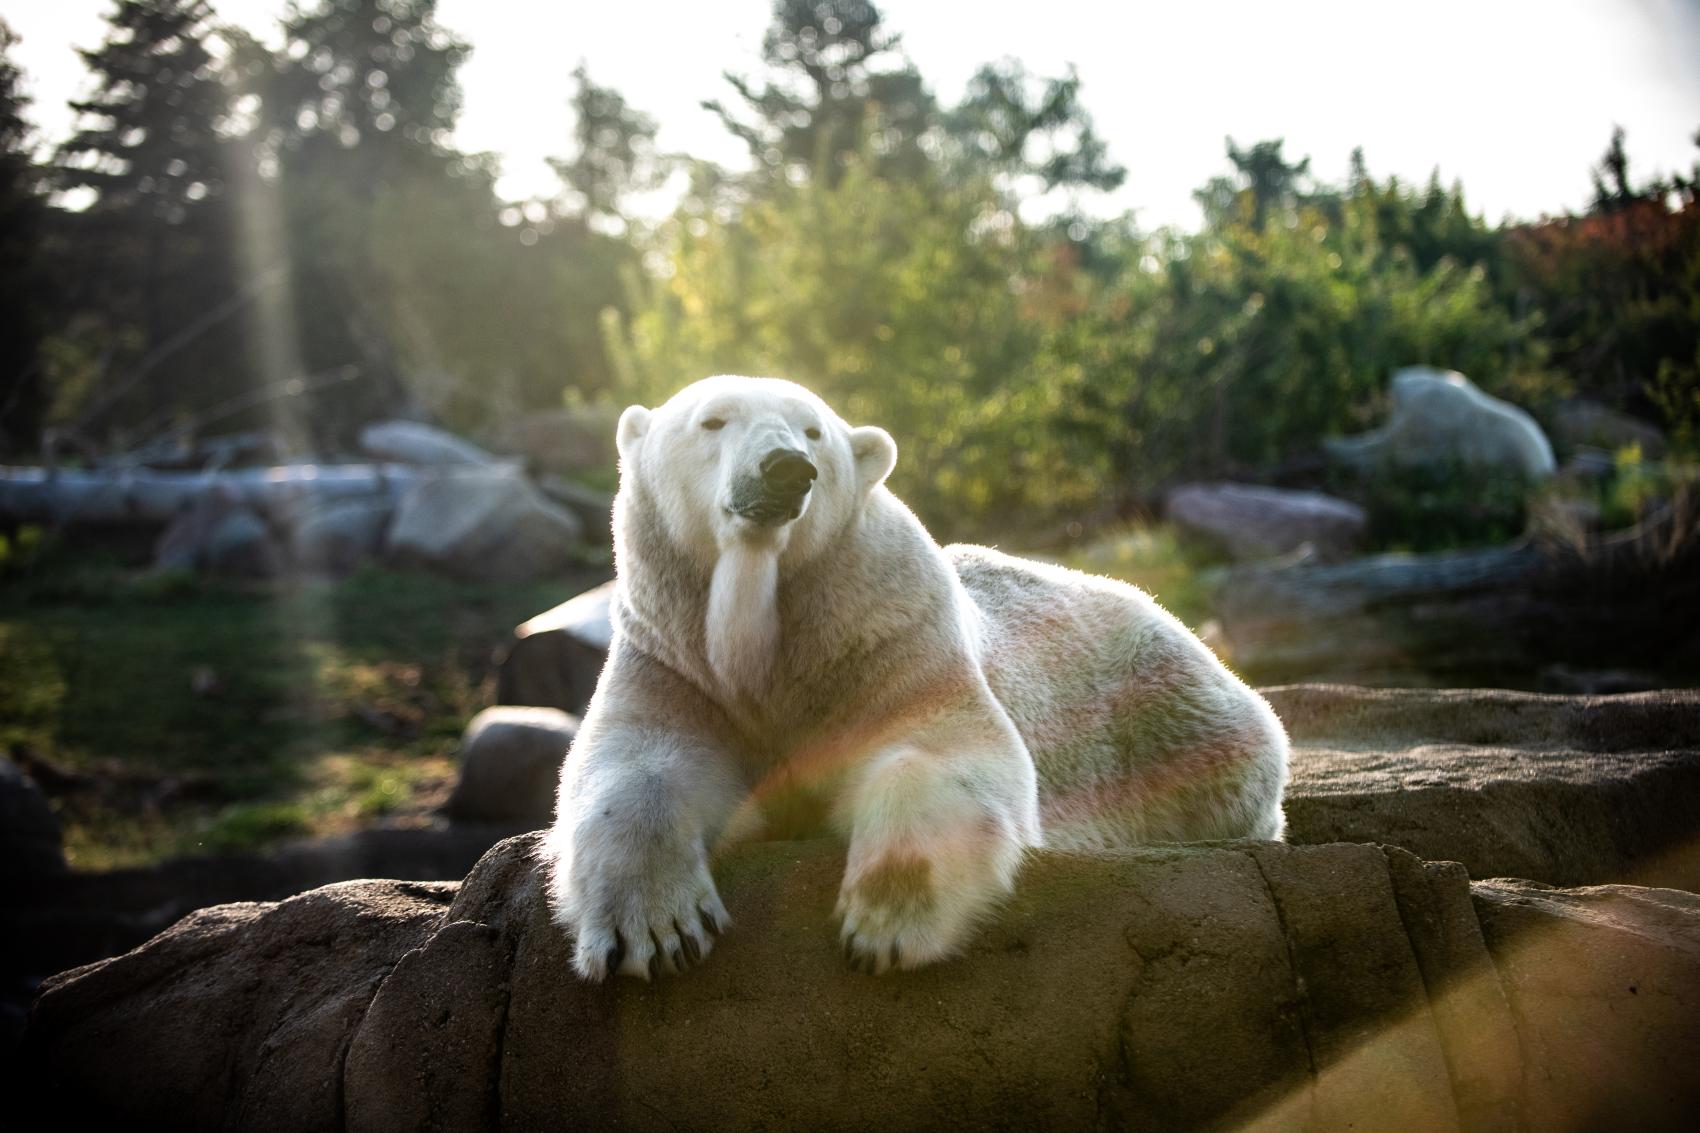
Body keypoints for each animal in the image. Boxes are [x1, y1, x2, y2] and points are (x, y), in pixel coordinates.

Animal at [543, 375, 1289, 980]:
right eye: (713, 420)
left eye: (814, 429)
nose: (788, 468)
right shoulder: (673, 658)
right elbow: (637, 763)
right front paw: (653, 931)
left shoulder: (887, 633)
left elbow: (943, 748)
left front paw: (884, 920)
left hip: (1166, 701)